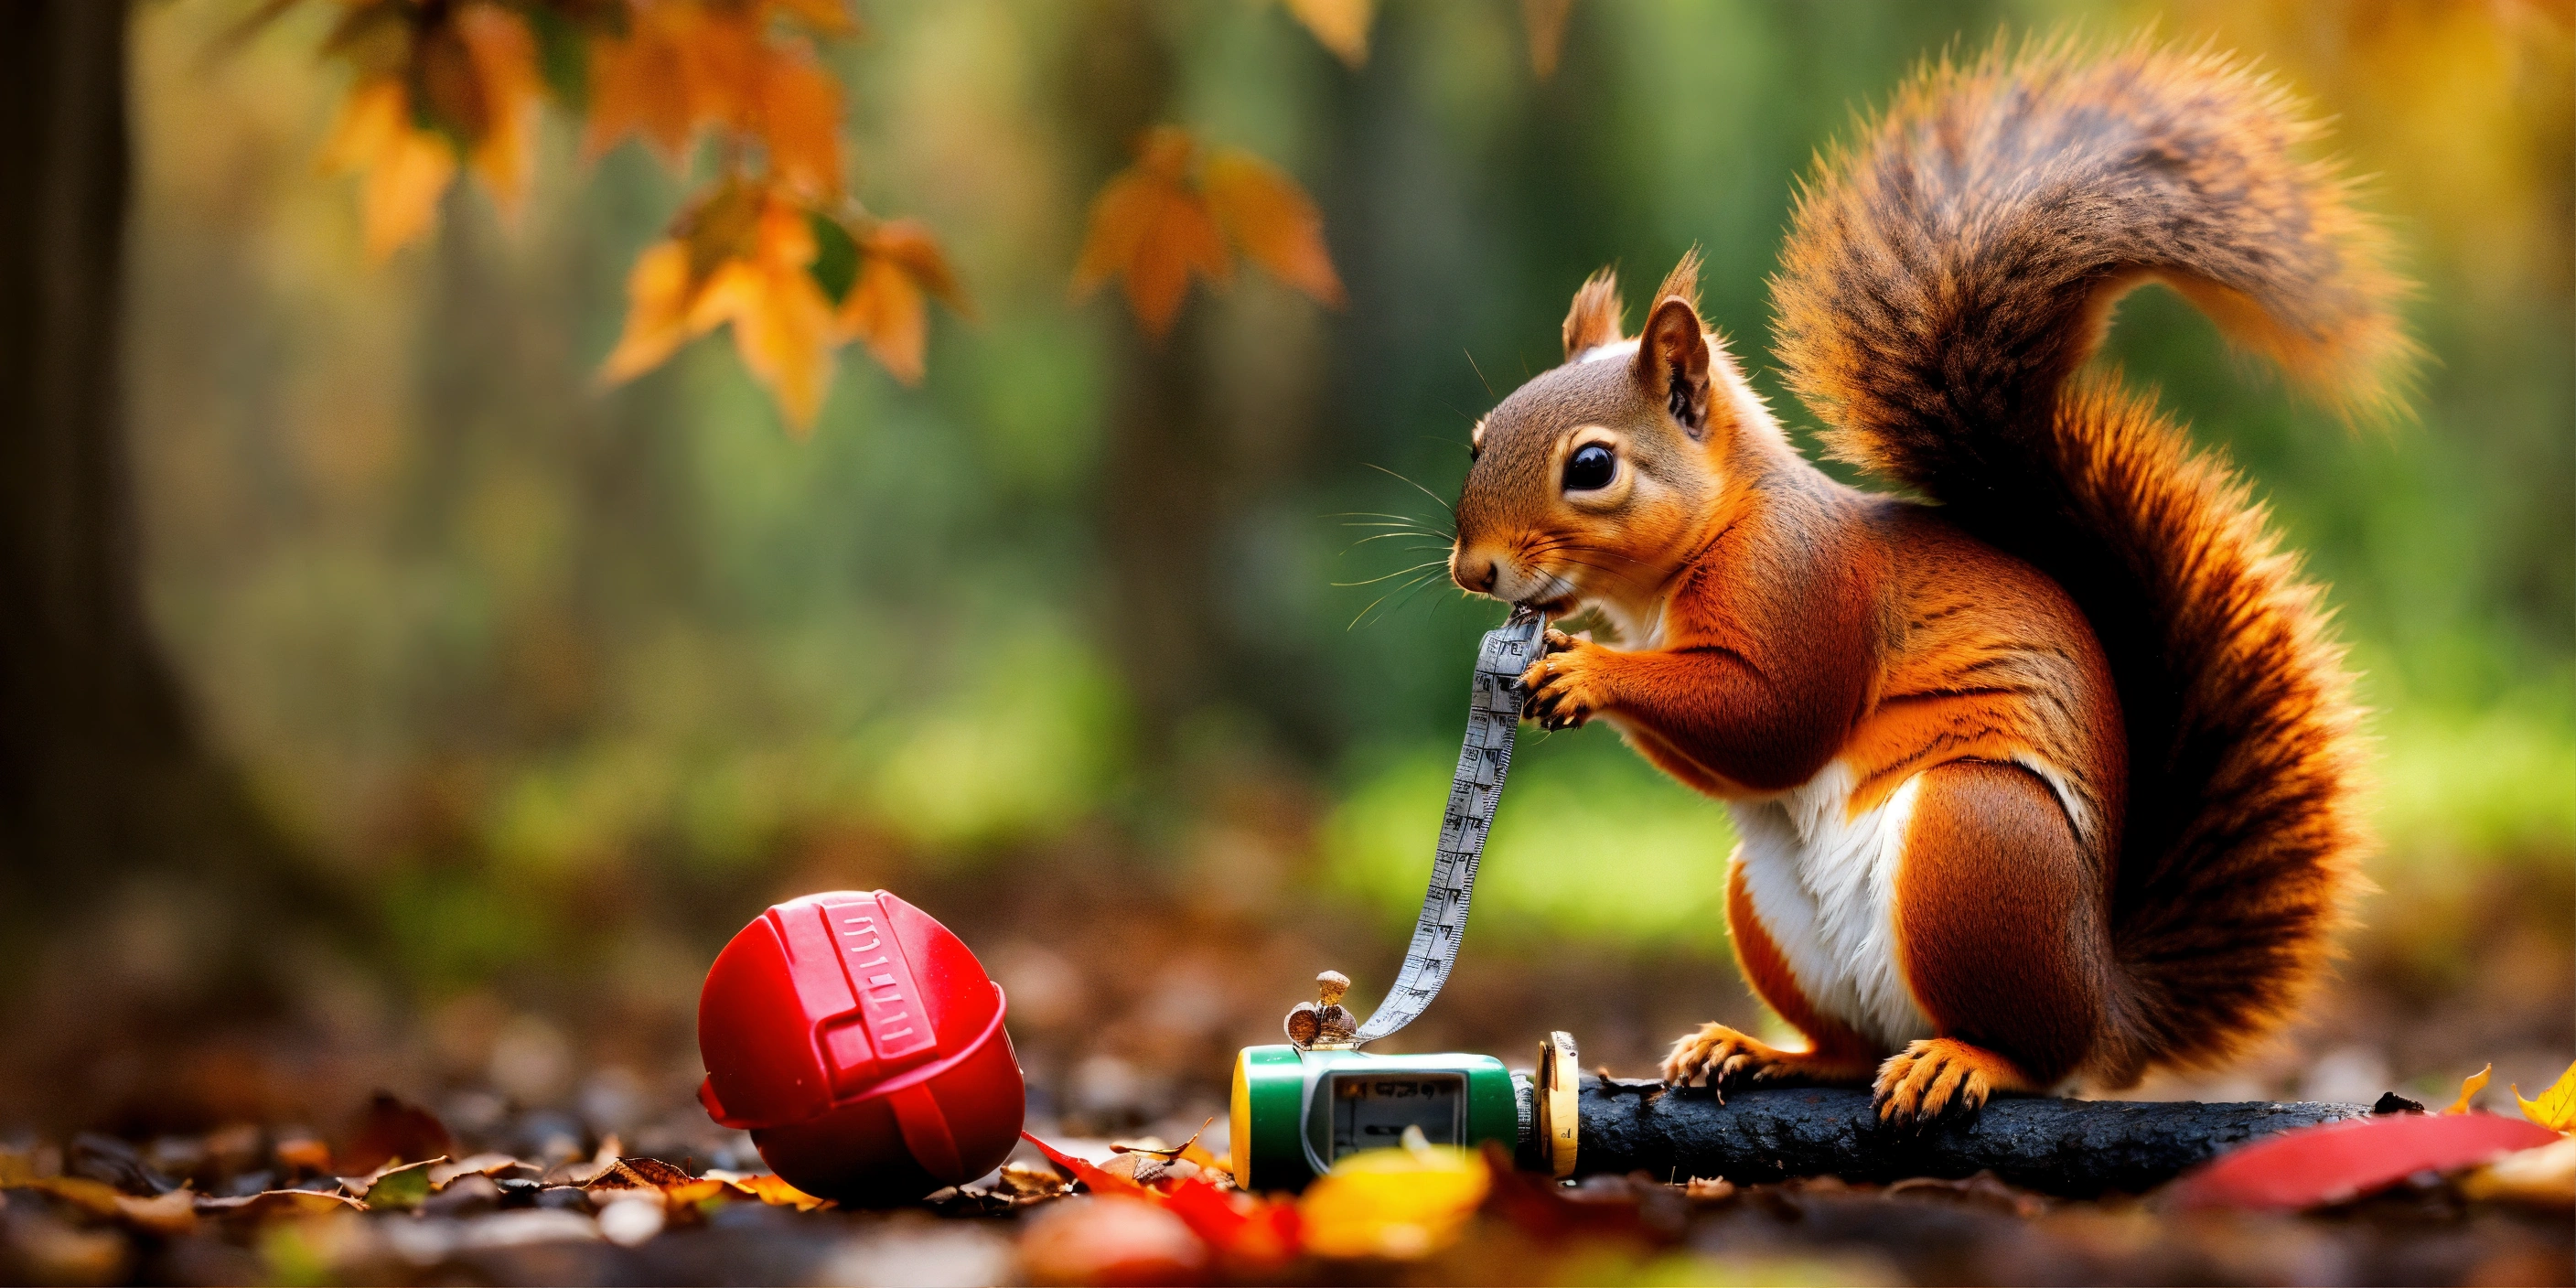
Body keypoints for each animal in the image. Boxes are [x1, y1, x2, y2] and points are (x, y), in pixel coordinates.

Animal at [1445, 38, 2412, 1125]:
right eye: (1478, 436)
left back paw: (1964, 1059)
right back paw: (1763, 1050)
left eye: (1592, 466)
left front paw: (1584, 671)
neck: (1697, 550)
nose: (1472, 568)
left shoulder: (1808, 587)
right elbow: (1741, 762)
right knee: (1847, 1043)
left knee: (2029, 1050)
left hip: (1977, 843)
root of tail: (2107, 1005)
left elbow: (1775, 714)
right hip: (1769, 902)